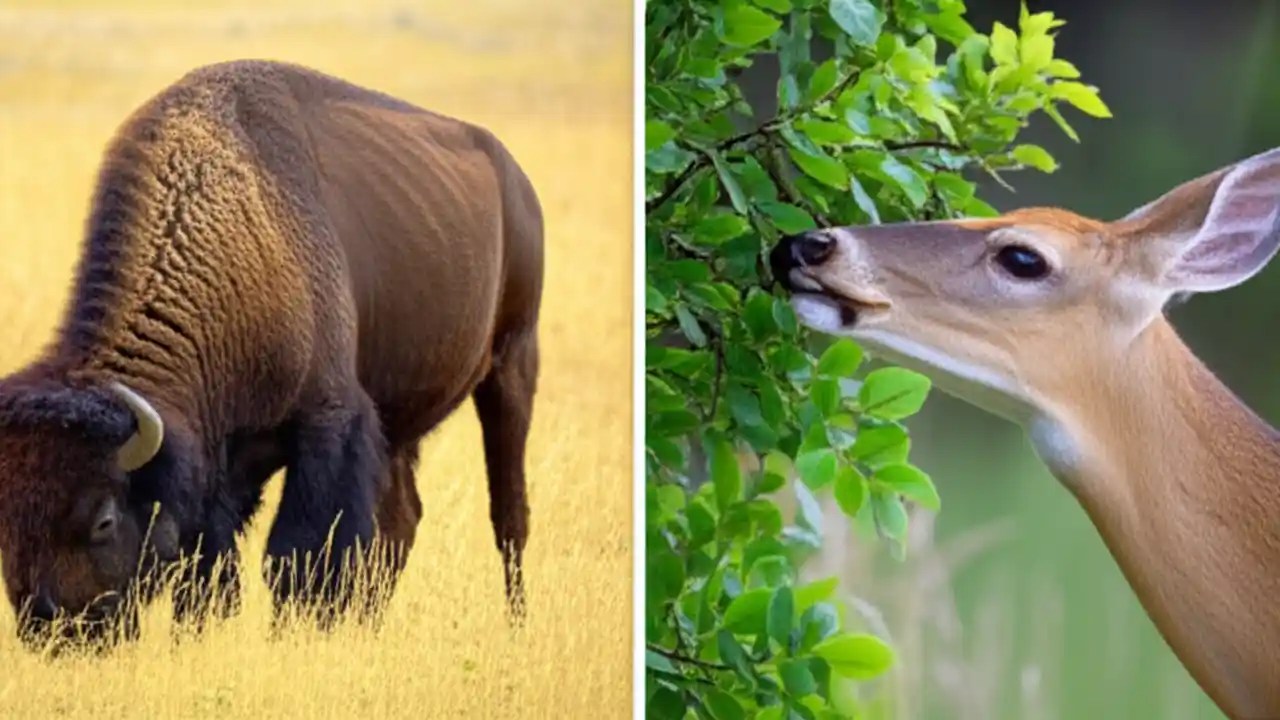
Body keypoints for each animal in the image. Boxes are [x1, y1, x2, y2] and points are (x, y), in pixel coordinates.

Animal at [0, 59, 542, 643]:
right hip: (402, 420)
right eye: (5, 522)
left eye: (103, 520)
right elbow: (212, 567)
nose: (51, 628)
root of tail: (516, 179)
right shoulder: (221, 460)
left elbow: (296, 551)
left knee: (508, 517)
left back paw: (517, 623)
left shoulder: (327, 425)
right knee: (404, 518)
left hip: (512, 368)